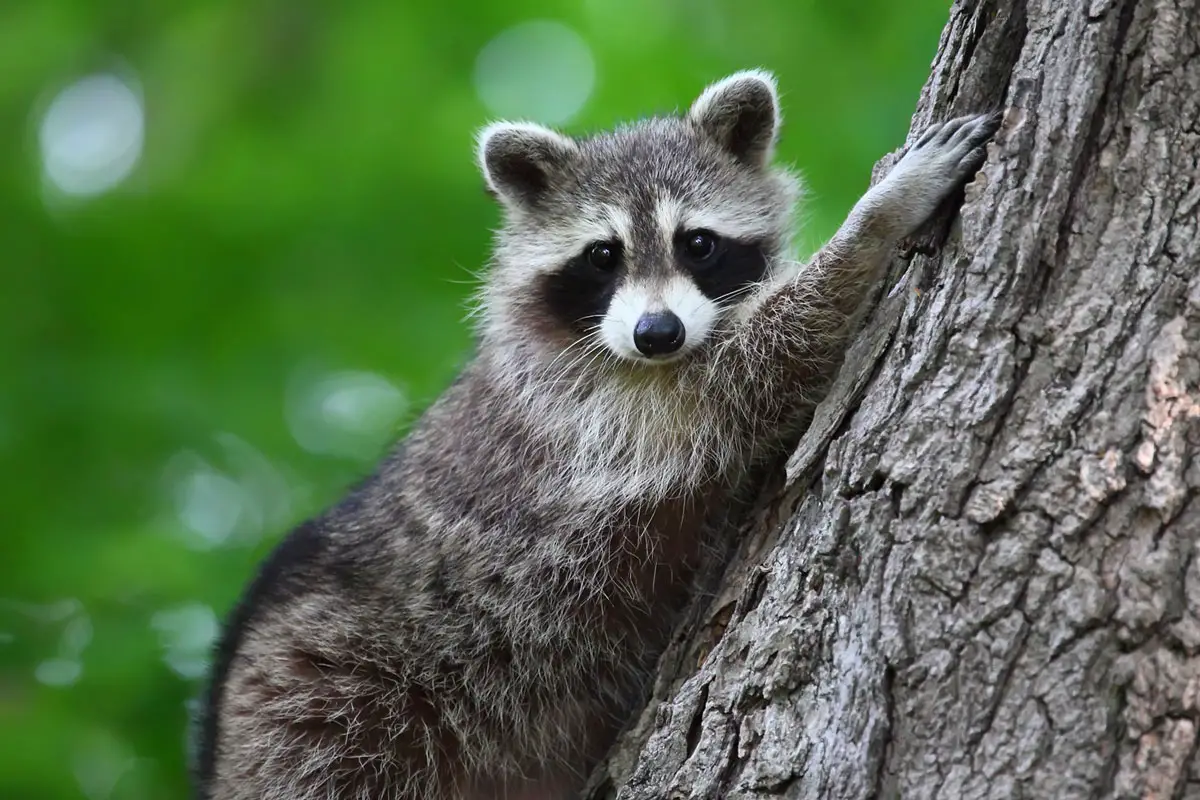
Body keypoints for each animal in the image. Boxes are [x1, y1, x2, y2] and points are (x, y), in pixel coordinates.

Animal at [195, 70, 1000, 800]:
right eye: (602, 255)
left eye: (698, 244)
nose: (657, 333)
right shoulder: (590, 410)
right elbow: (754, 369)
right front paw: (876, 219)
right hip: (327, 714)